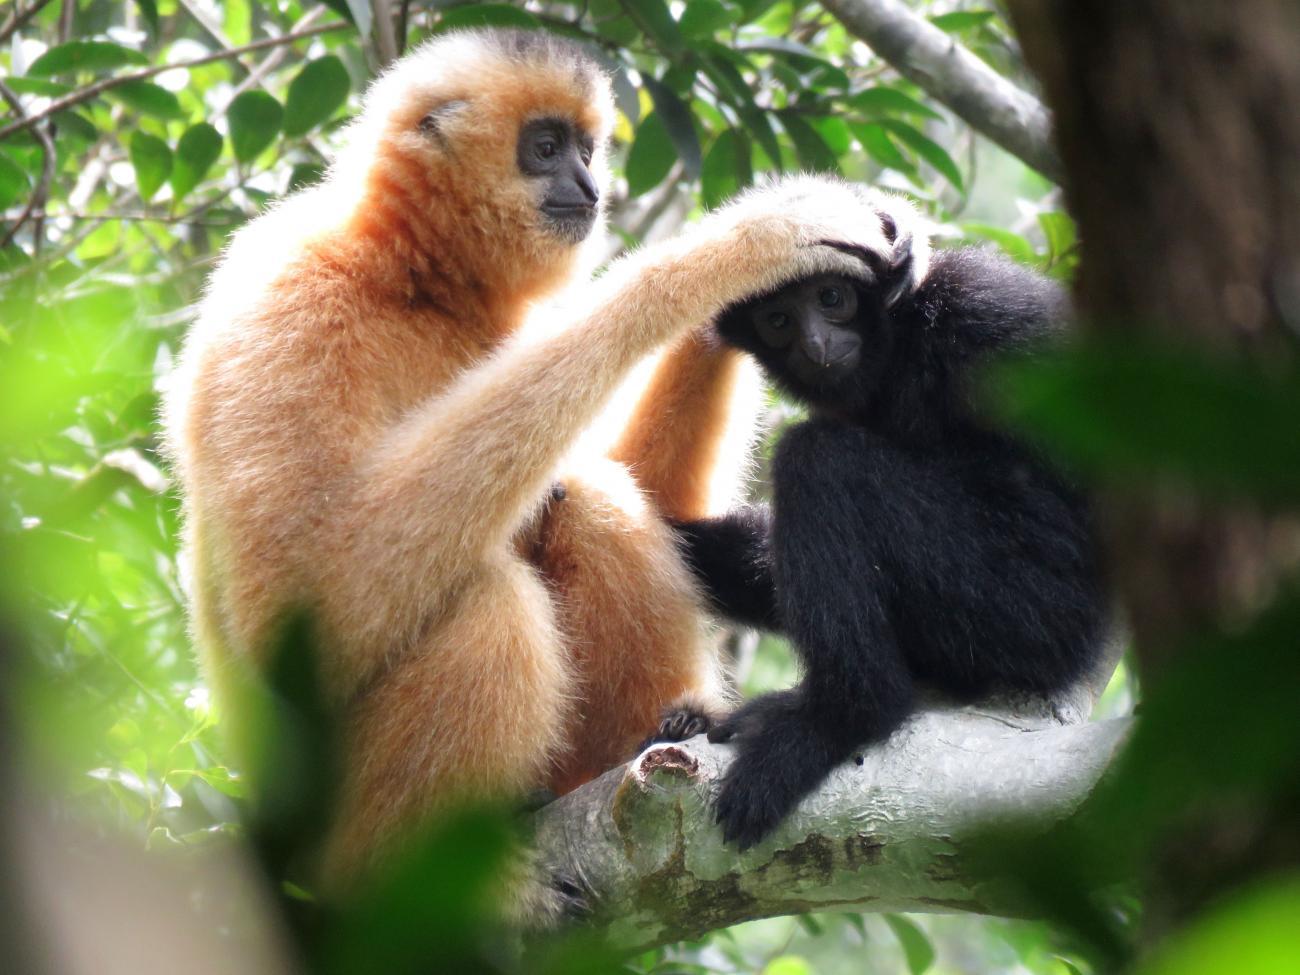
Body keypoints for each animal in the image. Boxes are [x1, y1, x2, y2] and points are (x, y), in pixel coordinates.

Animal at [162, 27, 897, 916]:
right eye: (544, 148)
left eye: (585, 148)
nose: (587, 185)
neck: (417, 279)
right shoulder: (289, 296)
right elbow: (303, 588)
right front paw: (717, 258)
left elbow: (649, 492)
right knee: (491, 605)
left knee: (590, 499)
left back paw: (665, 734)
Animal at [674, 228, 1110, 850]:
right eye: (778, 320)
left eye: (831, 298)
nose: (815, 342)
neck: (902, 344)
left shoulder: (985, 313)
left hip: (1028, 613)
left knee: (821, 459)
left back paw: (840, 721)